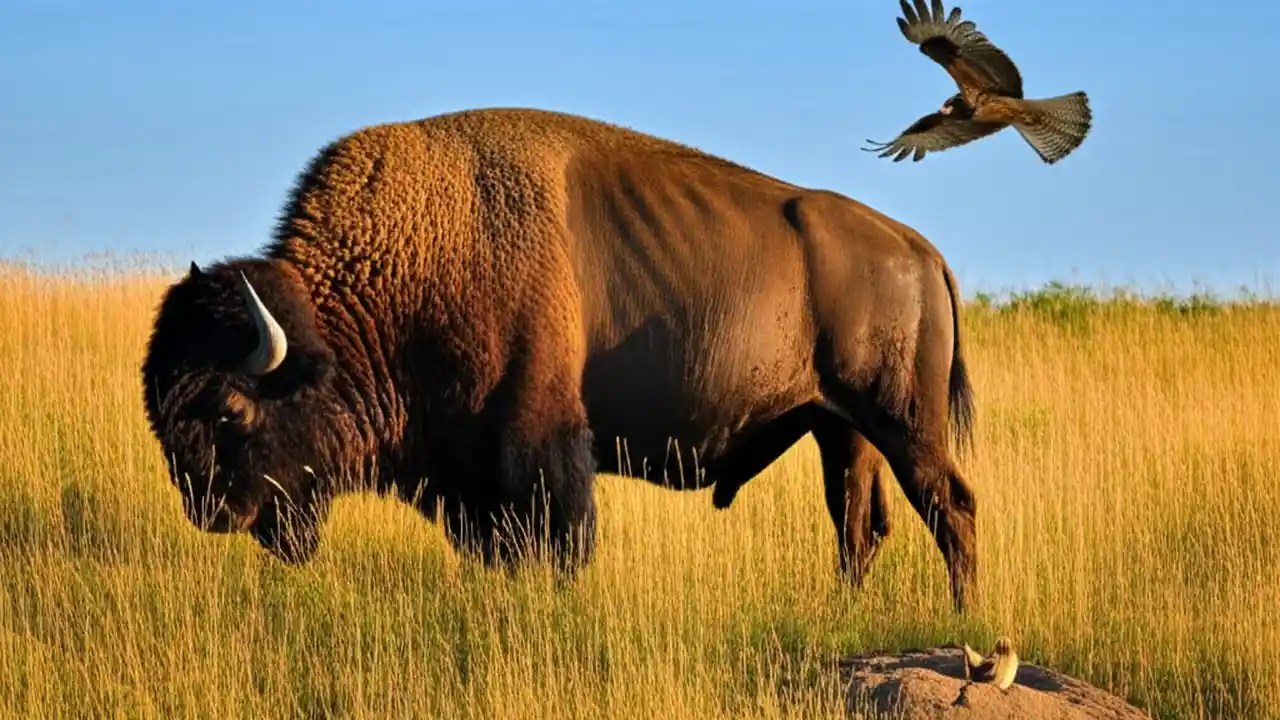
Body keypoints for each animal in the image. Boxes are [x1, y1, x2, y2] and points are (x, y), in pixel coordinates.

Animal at [141, 107, 979, 611]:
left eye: (229, 410)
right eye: (161, 419)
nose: (213, 513)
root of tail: (921, 250)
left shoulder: (542, 447)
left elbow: (564, 545)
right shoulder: (473, 481)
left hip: (903, 422)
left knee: (950, 505)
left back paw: (963, 618)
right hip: (839, 428)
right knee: (858, 522)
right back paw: (846, 610)